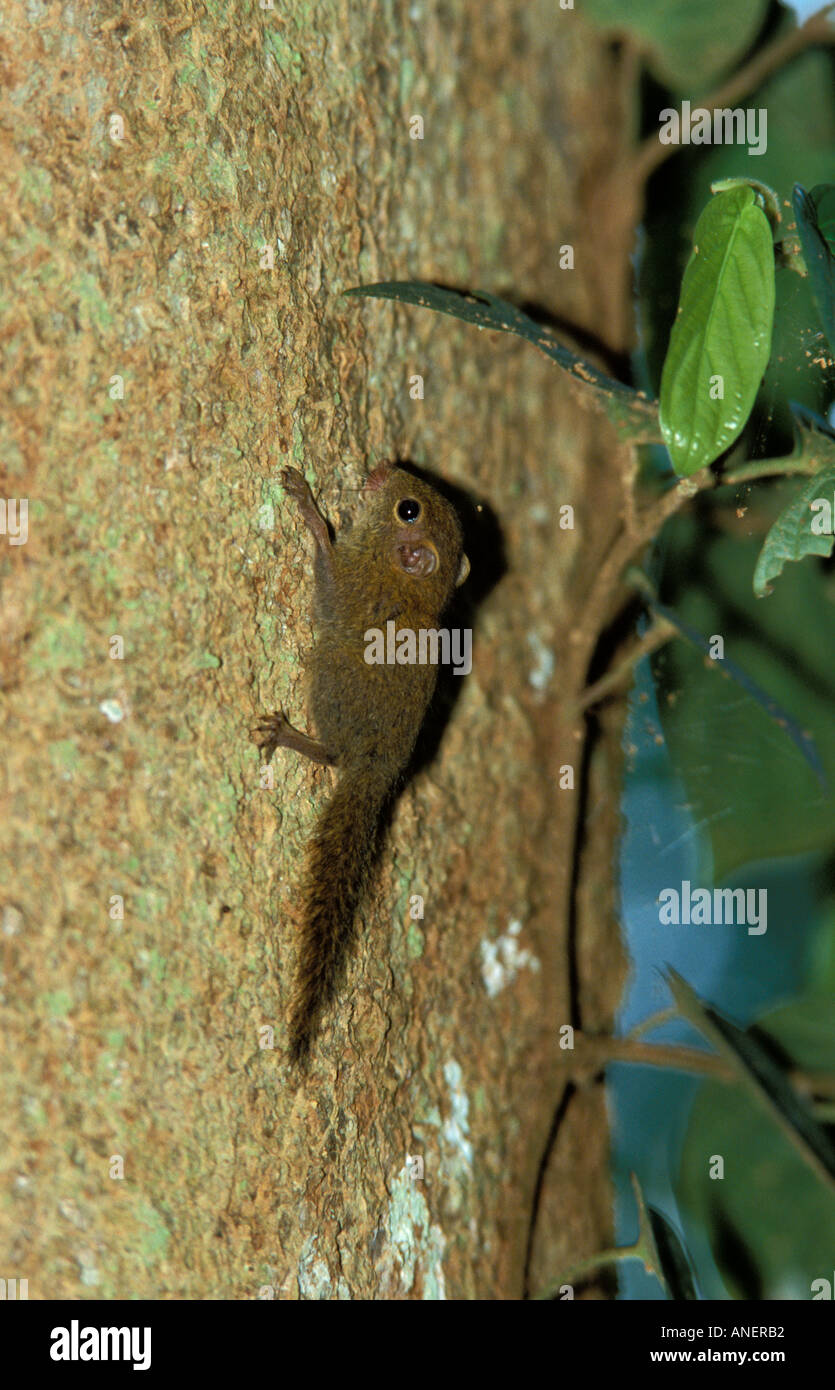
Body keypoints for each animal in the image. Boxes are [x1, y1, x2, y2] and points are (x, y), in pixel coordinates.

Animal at [253, 463, 470, 1065]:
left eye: (408, 511)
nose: (380, 470)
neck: (410, 588)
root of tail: (376, 775)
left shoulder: (353, 589)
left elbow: (327, 578)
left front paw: (309, 509)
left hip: (330, 675)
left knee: (331, 752)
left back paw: (290, 736)